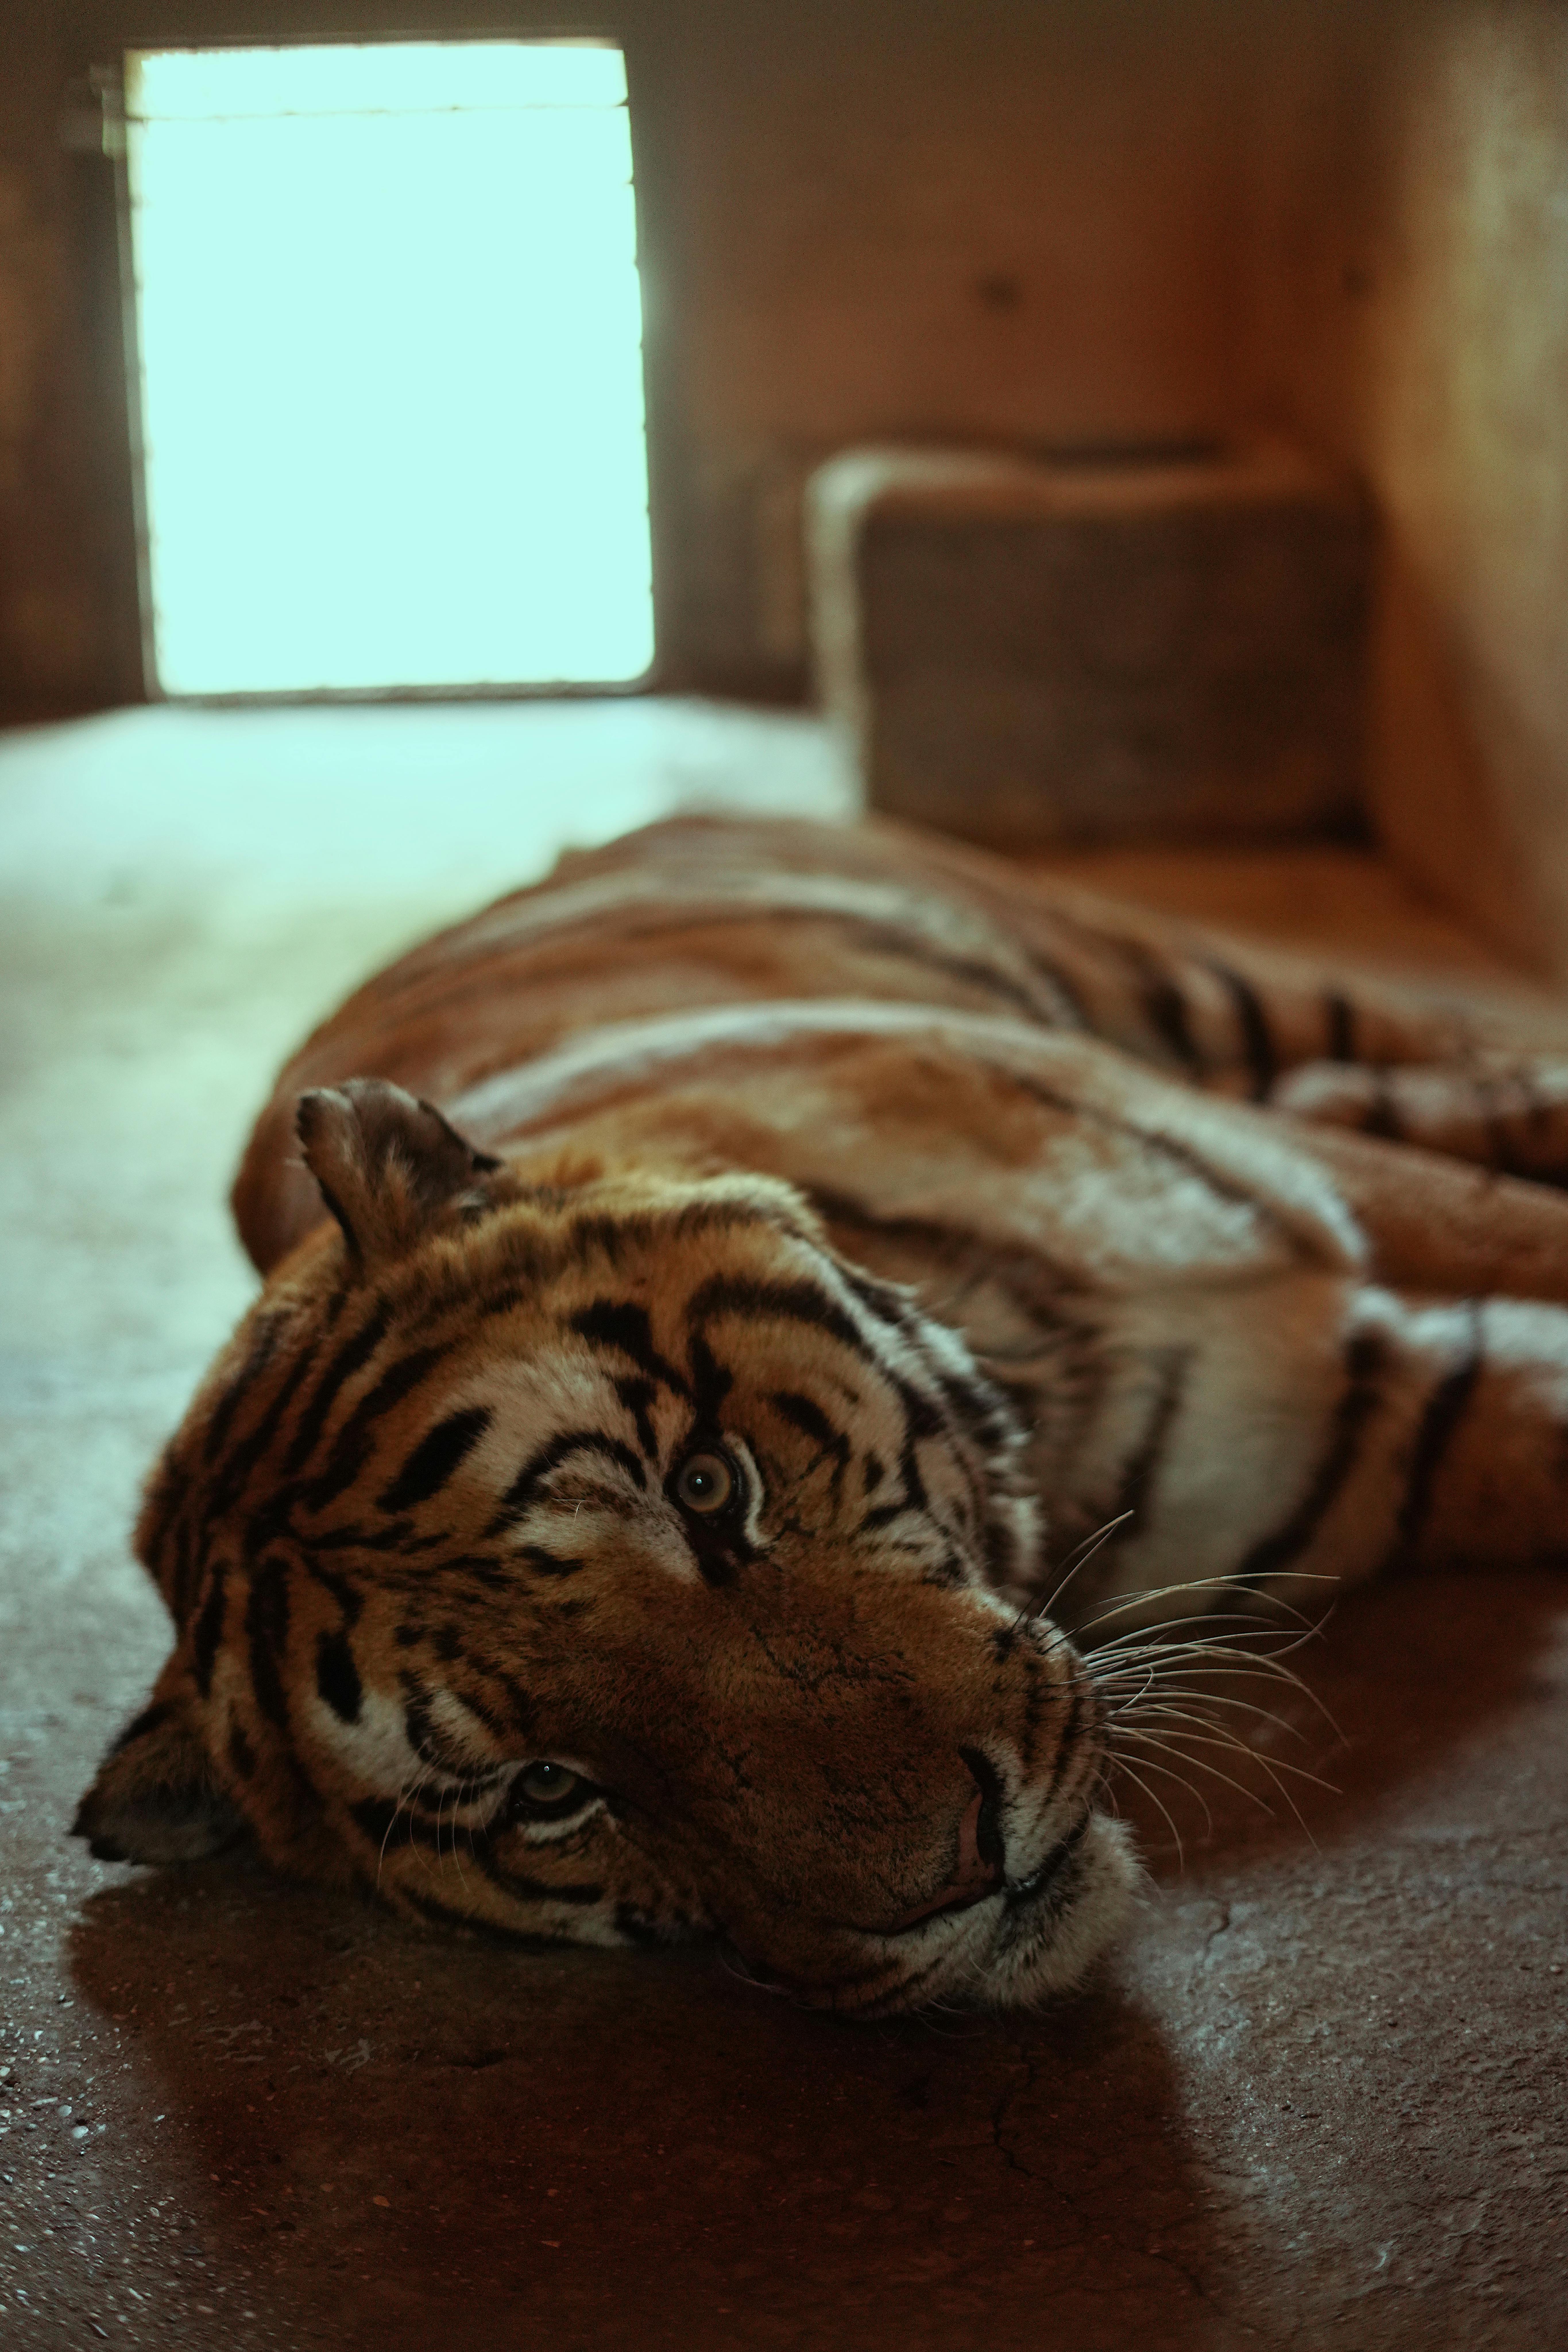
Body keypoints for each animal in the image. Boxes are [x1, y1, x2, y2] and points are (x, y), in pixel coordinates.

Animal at [74, 812, 1568, 2016]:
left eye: (705, 1488)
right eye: (546, 1788)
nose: (969, 1871)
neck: (1060, 1430)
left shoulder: (1351, 1199)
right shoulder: (1390, 1424)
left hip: (1194, 974)